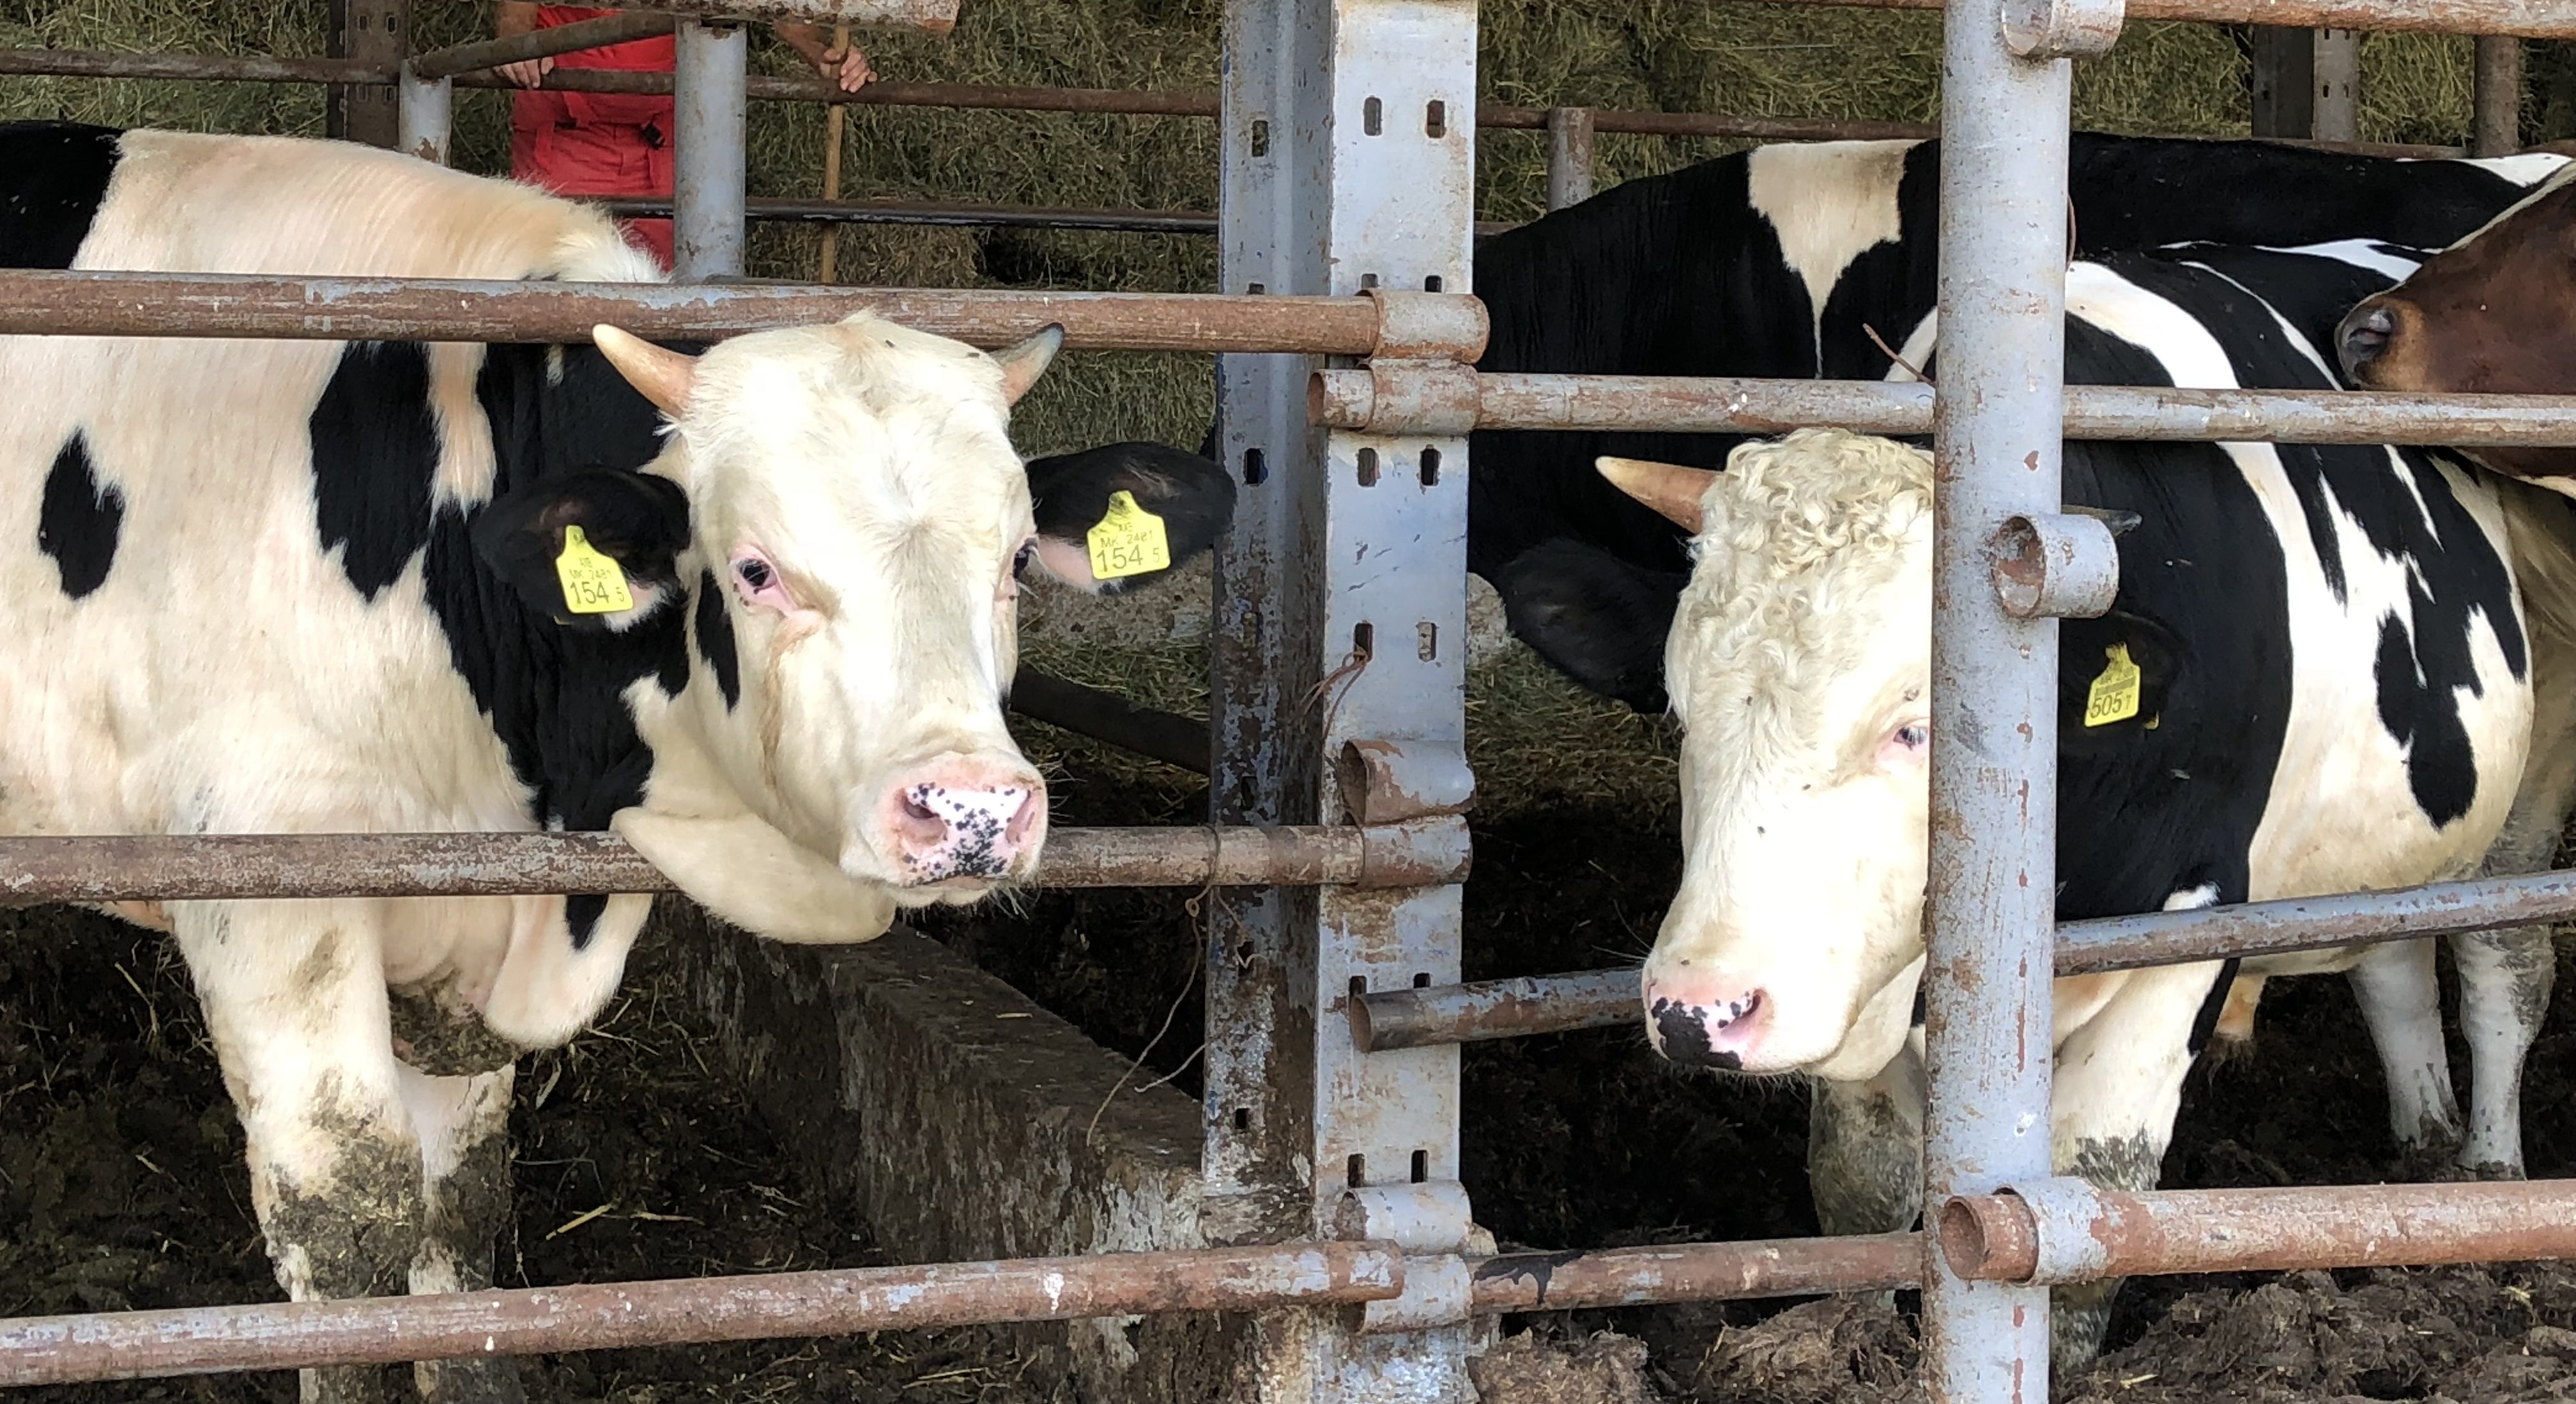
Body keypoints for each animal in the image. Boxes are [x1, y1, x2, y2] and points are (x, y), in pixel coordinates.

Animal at [0, 121, 1235, 1404]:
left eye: (1015, 562)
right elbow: (345, 1227)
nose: (972, 807)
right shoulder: (265, 889)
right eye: (753, 570)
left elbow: (459, 1204)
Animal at [1502, 239, 2576, 1370]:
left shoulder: (2190, 933)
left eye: (1915, 724)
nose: (1700, 1010)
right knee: (2393, 956)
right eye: (1677, 704)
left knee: (2504, 959)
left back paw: (2487, 1181)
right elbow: (1864, 1182)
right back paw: (2420, 1145)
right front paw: (1855, 1328)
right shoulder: (1857, 979)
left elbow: (2096, 1178)